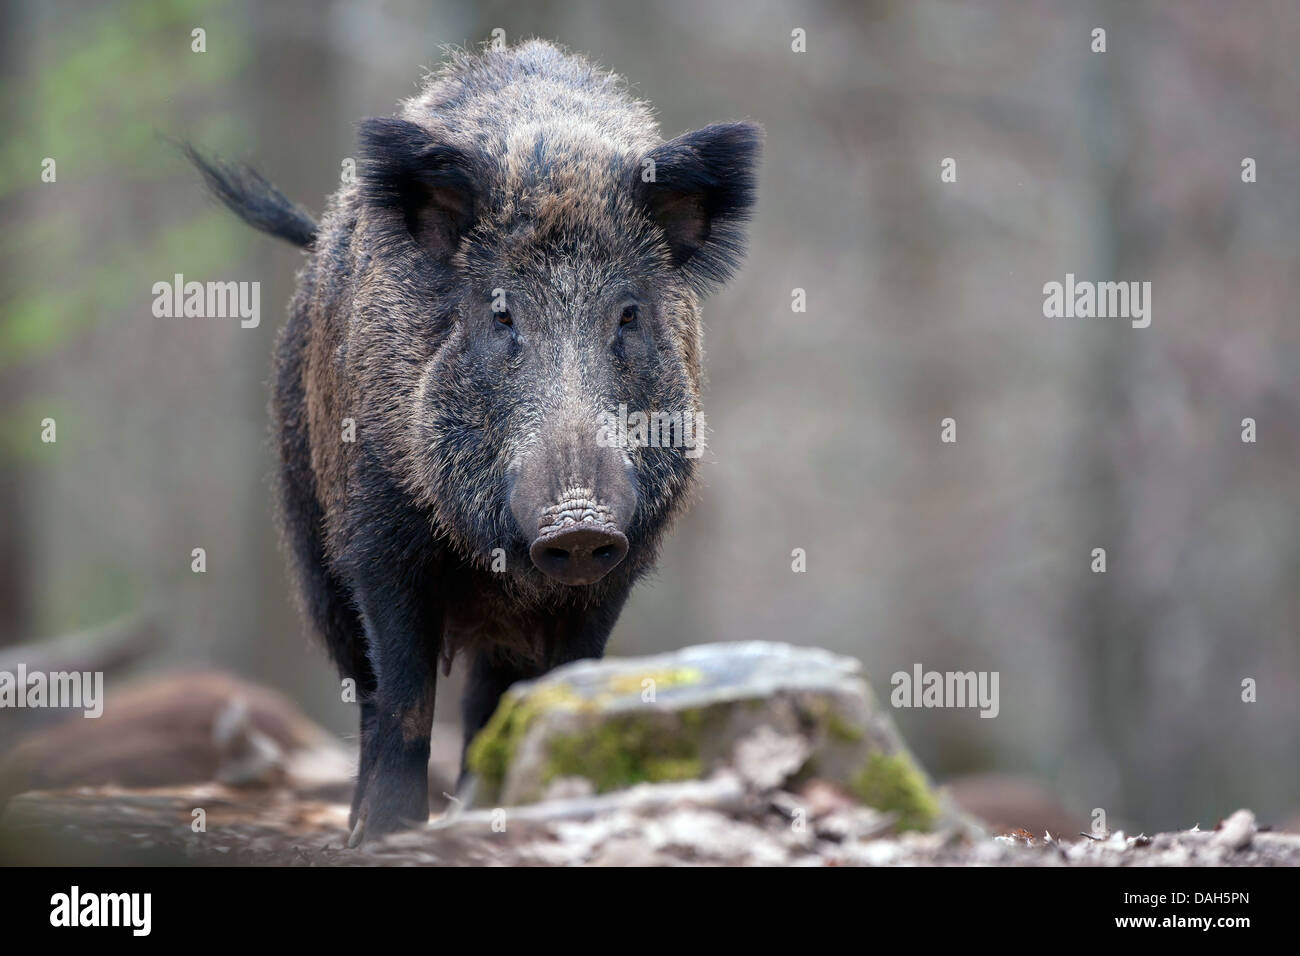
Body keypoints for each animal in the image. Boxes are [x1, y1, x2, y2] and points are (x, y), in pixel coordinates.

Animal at [187, 40, 760, 843]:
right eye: (502, 316)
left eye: (628, 314)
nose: (577, 522)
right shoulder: (379, 536)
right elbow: (403, 694)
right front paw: (385, 835)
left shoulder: (619, 565)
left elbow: (560, 685)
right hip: (309, 541)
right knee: (367, 689)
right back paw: (362, 823)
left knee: (488, 693)